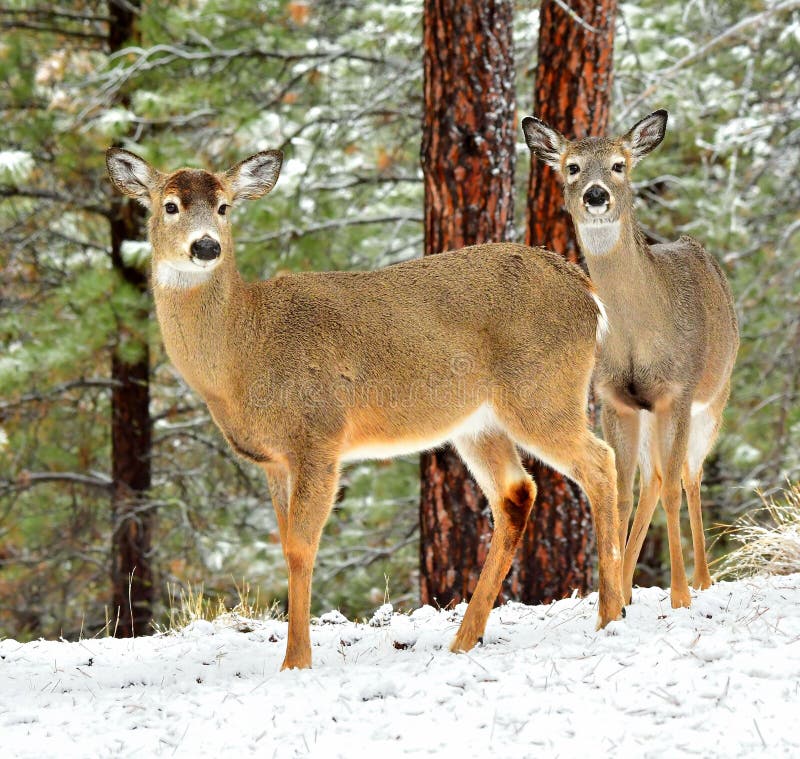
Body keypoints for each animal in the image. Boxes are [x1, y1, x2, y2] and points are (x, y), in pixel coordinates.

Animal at [106, 146, 624, 670]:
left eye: (224, 207)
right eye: (170, 205)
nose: (206, 246)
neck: (241, 353)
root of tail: (588, 293)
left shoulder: (318, 435)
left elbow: (301, 548)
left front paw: (296, 661)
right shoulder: (274, 461)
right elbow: (285, 543)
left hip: (542, 391)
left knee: (600, 461)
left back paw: (610, 614)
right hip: (478, 423)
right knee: (517, 493)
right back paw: (464, 638)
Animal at [522, 110, 739, 610]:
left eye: (619, 165)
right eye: (572, 167)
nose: (596, 194)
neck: (639, 334)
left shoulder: (677, 392)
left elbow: (675, 488)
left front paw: (679, 596)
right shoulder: (613, 399)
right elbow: (621, 493)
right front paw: (616, 597)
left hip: (714, 399)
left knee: (689, 477)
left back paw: (702, 580)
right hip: (647, 415)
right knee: (652, 479)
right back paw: (628, 587)